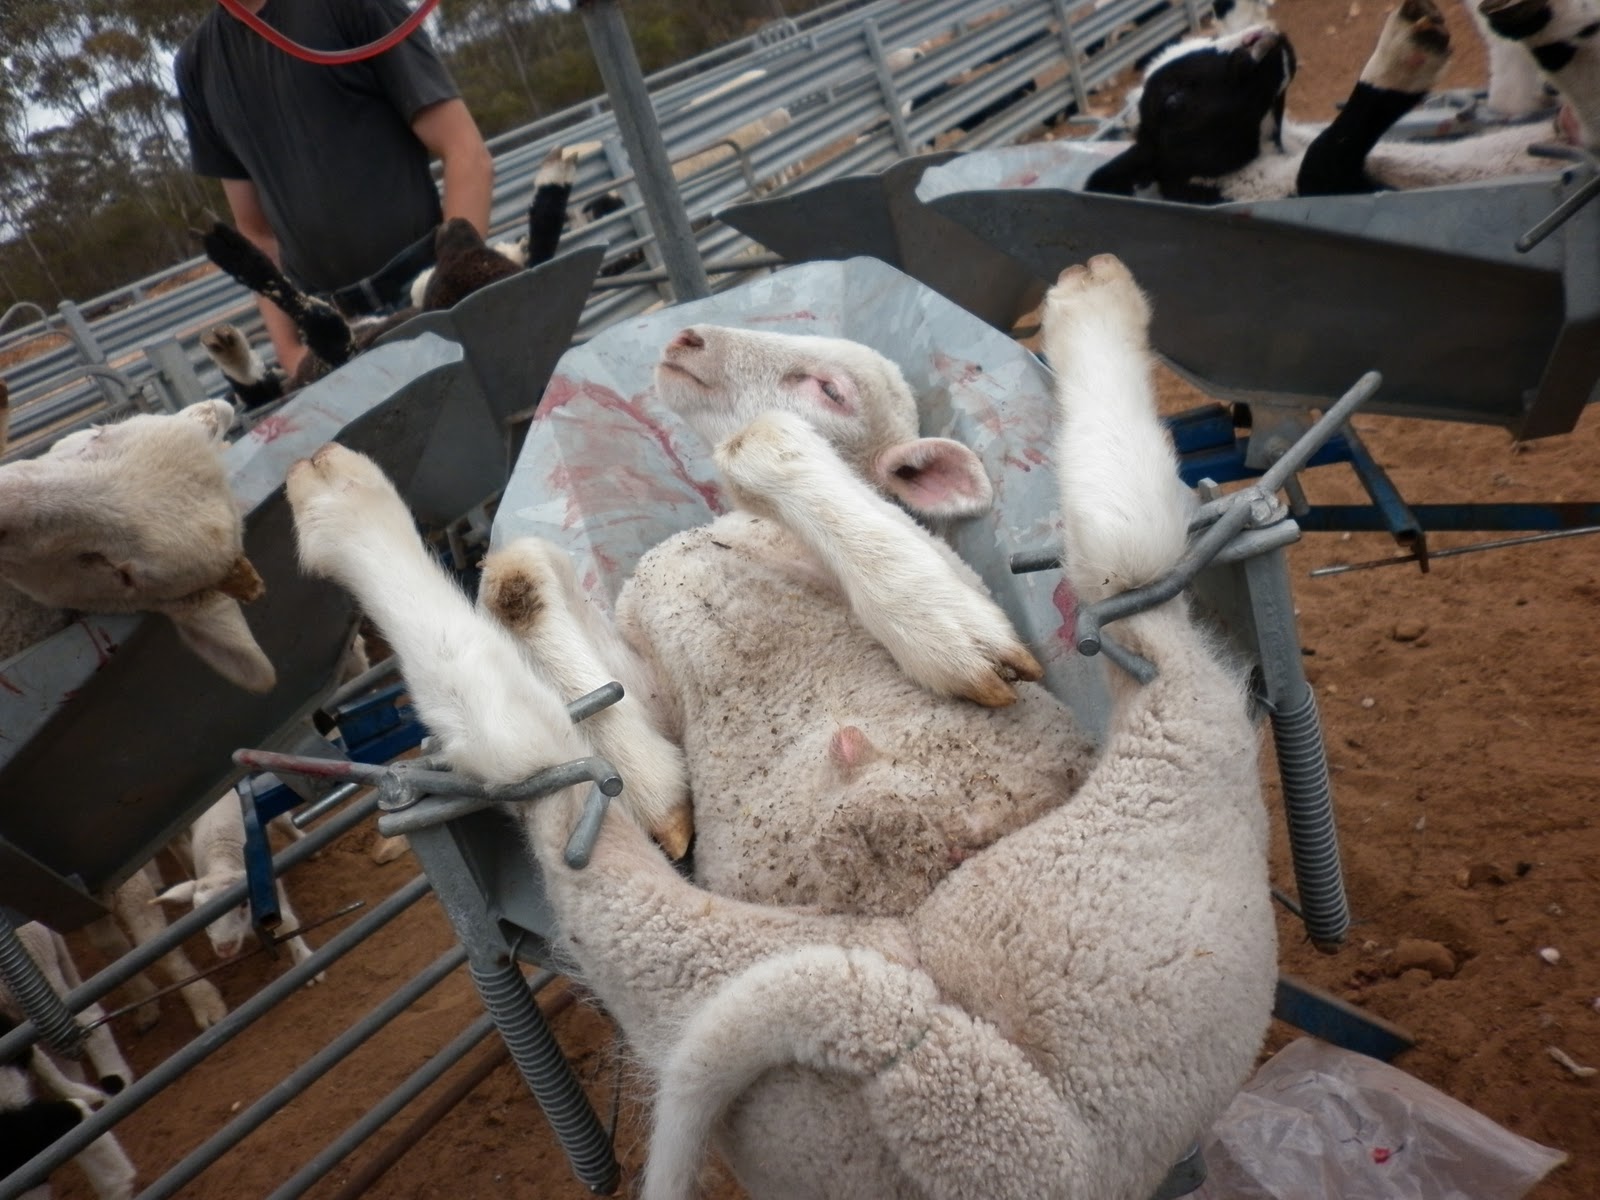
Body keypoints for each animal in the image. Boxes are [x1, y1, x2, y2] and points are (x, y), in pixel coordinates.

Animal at [153, 790, 323, 983]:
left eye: (243, 904)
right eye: (199, 916)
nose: (225, 947)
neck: (220, 861)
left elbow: (287, 924)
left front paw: (305, 961)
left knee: (285, 822)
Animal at [286, 251, 1276, 1199]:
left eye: (829, 388)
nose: (685, 338)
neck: (743, 536)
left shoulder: (932, 557)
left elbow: (766, 446)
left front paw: (942, 628)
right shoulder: (650, 678)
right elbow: (524, 576)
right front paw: (653, 778)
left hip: (1153, 804)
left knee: (1122, 563)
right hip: (694, 965)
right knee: (545, 762)